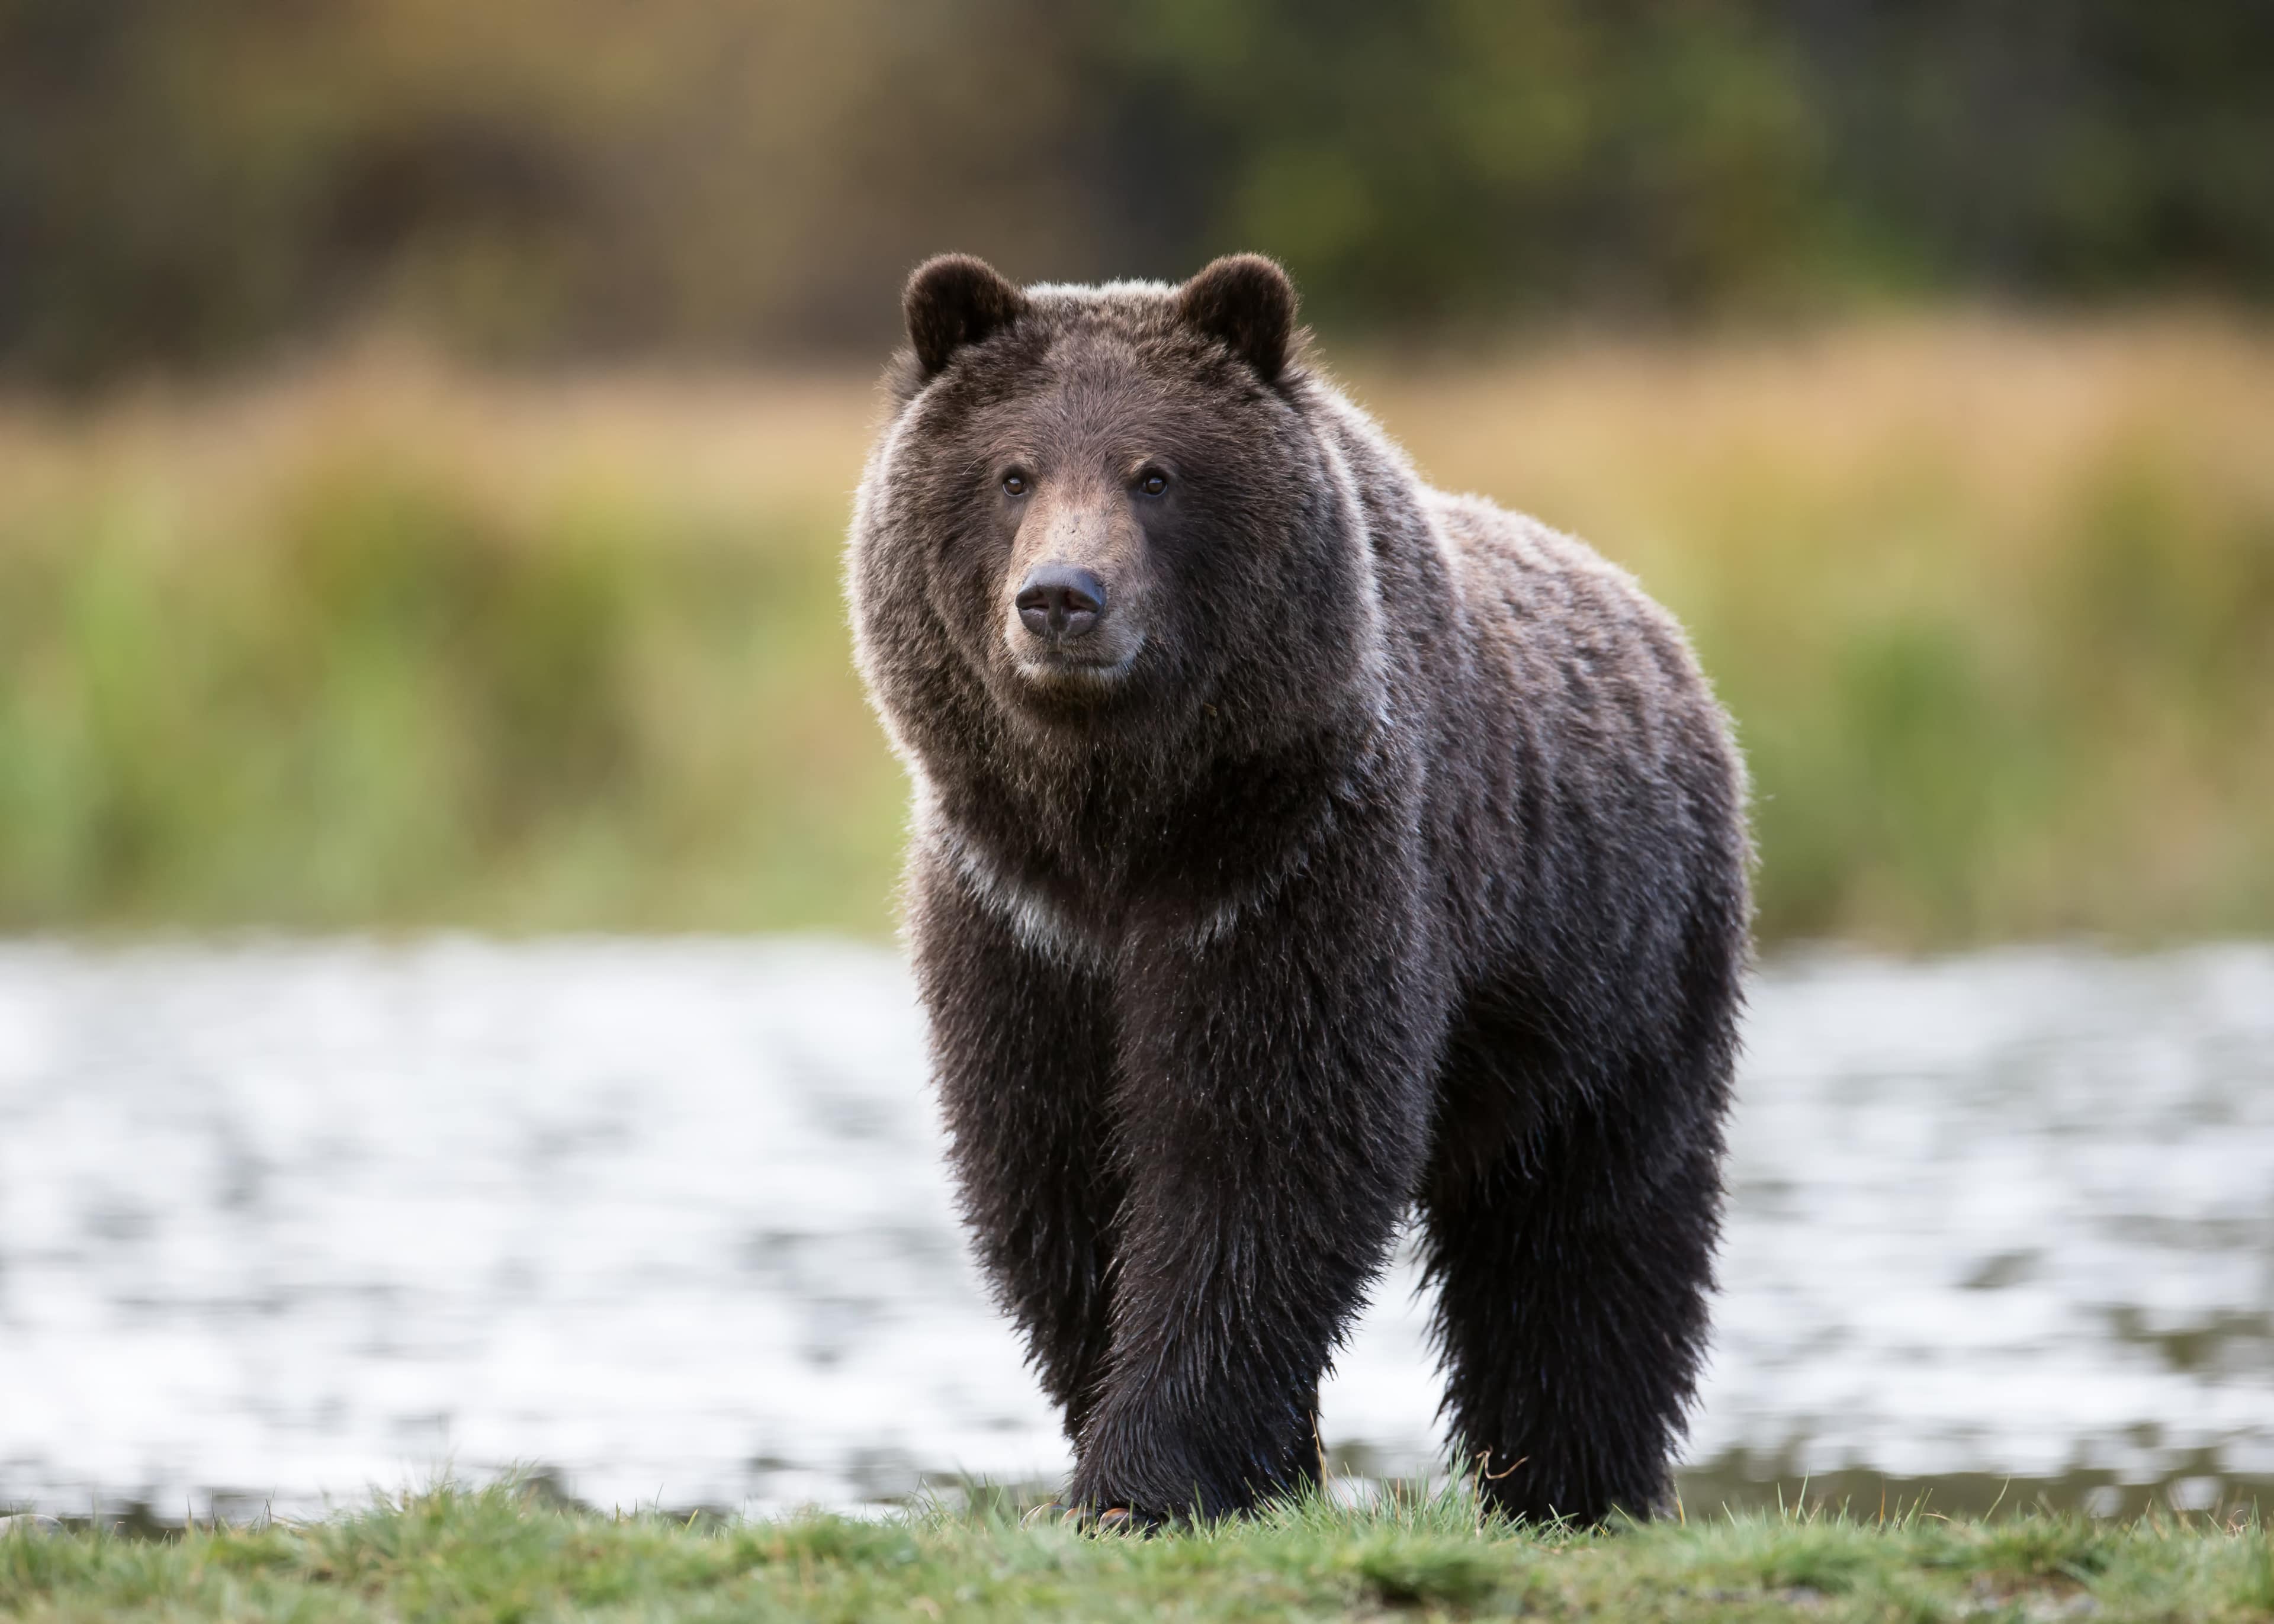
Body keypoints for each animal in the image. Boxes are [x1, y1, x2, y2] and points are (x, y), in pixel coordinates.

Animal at [847, 252, 1750, 1527]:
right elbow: (1056, 1170)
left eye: (1155, 474)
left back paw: (1572, 1483)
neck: (1124, 828)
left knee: (1587, 1237)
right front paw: (1227, 1464)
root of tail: (1660, 631)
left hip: (1619, 972)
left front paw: (1151, 1473)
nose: (1062, 597)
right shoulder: (1019, 917)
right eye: (1012, 472)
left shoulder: (1296, 870)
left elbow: (1260, 1157)